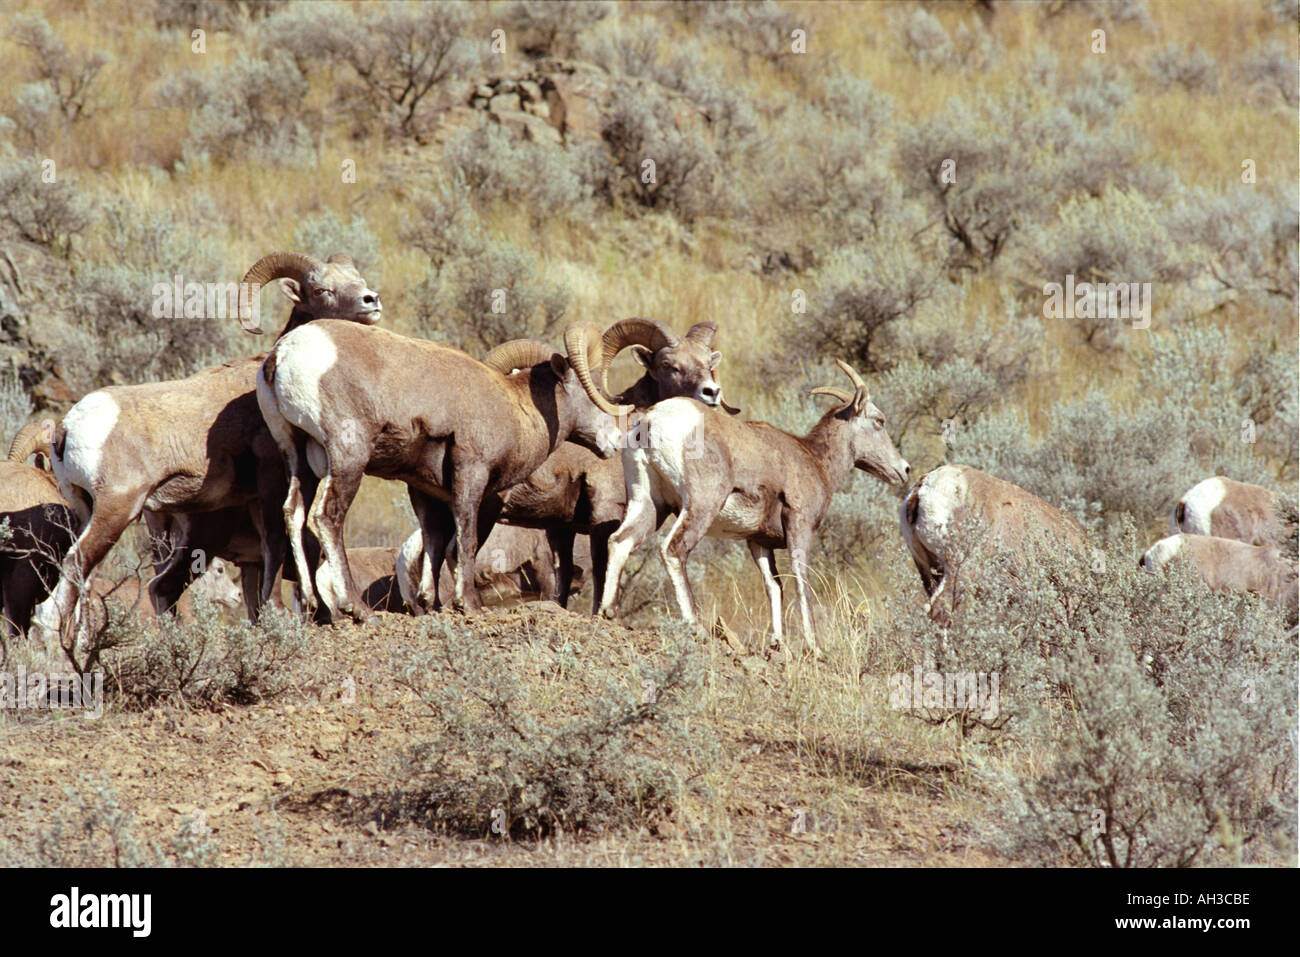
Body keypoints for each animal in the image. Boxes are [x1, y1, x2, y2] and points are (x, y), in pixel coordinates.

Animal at [31, 252, 381, 646]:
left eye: (357, 278)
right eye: (322, 290)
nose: (370, 301)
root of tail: (67, 429)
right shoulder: (270, 483)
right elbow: (276, 543)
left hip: (90, 512)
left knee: (90, 583)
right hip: (116, 510)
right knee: (71, 578)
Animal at [257, 321, 628, 622]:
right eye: (592, 391)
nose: (615, 441)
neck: (519, 410)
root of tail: (283, 353)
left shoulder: (425, 490)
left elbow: (435, 544)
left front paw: (433, 606)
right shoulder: (472, 478)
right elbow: (464, 542)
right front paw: (469, 605)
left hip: (300, 459)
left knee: (294, 513)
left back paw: (312, 603)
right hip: (348, 458)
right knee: (326, 518)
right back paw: (358, 610)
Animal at [597, 360, 910, 655]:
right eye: (879, 421)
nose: (904, 469)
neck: (815, 460)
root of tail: (652, 421)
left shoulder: (758, 542)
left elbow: (774, 587)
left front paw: (778, 644)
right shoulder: (799, 526)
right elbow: (801, 581)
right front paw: (814, 648)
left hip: (650, 504)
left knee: (620, 540)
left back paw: (608, 613)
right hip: (701, 505)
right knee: (673, 549)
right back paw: (696, 627)